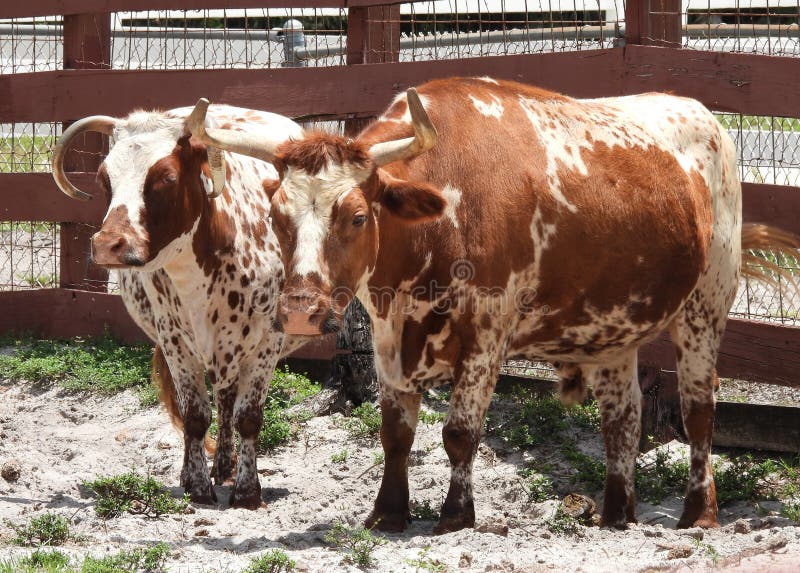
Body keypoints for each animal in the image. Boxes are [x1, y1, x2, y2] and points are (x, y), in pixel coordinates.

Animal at [51, 101, 304, 508]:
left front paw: (247, 491)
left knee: (229, 402)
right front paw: (197, 485)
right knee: (217, 402)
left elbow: (248, 417)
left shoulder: (267, 342)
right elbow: (195, 416)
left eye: (166, 178)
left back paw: (228, 467)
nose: (108, 245)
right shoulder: (175, 342)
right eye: (104, 179)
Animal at [188, 77, 800, 532]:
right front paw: (388, 513)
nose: (300, 310)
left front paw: (456, 516)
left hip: (705, 306)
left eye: (358, 216)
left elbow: (459, 433)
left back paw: (699, 513)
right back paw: (615, 514)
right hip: (611, 332)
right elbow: (396, 434)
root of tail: (701, 113)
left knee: (699, 411)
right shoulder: (387, 337)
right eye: (277, 215)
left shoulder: (486, 334)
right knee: (622, 419)